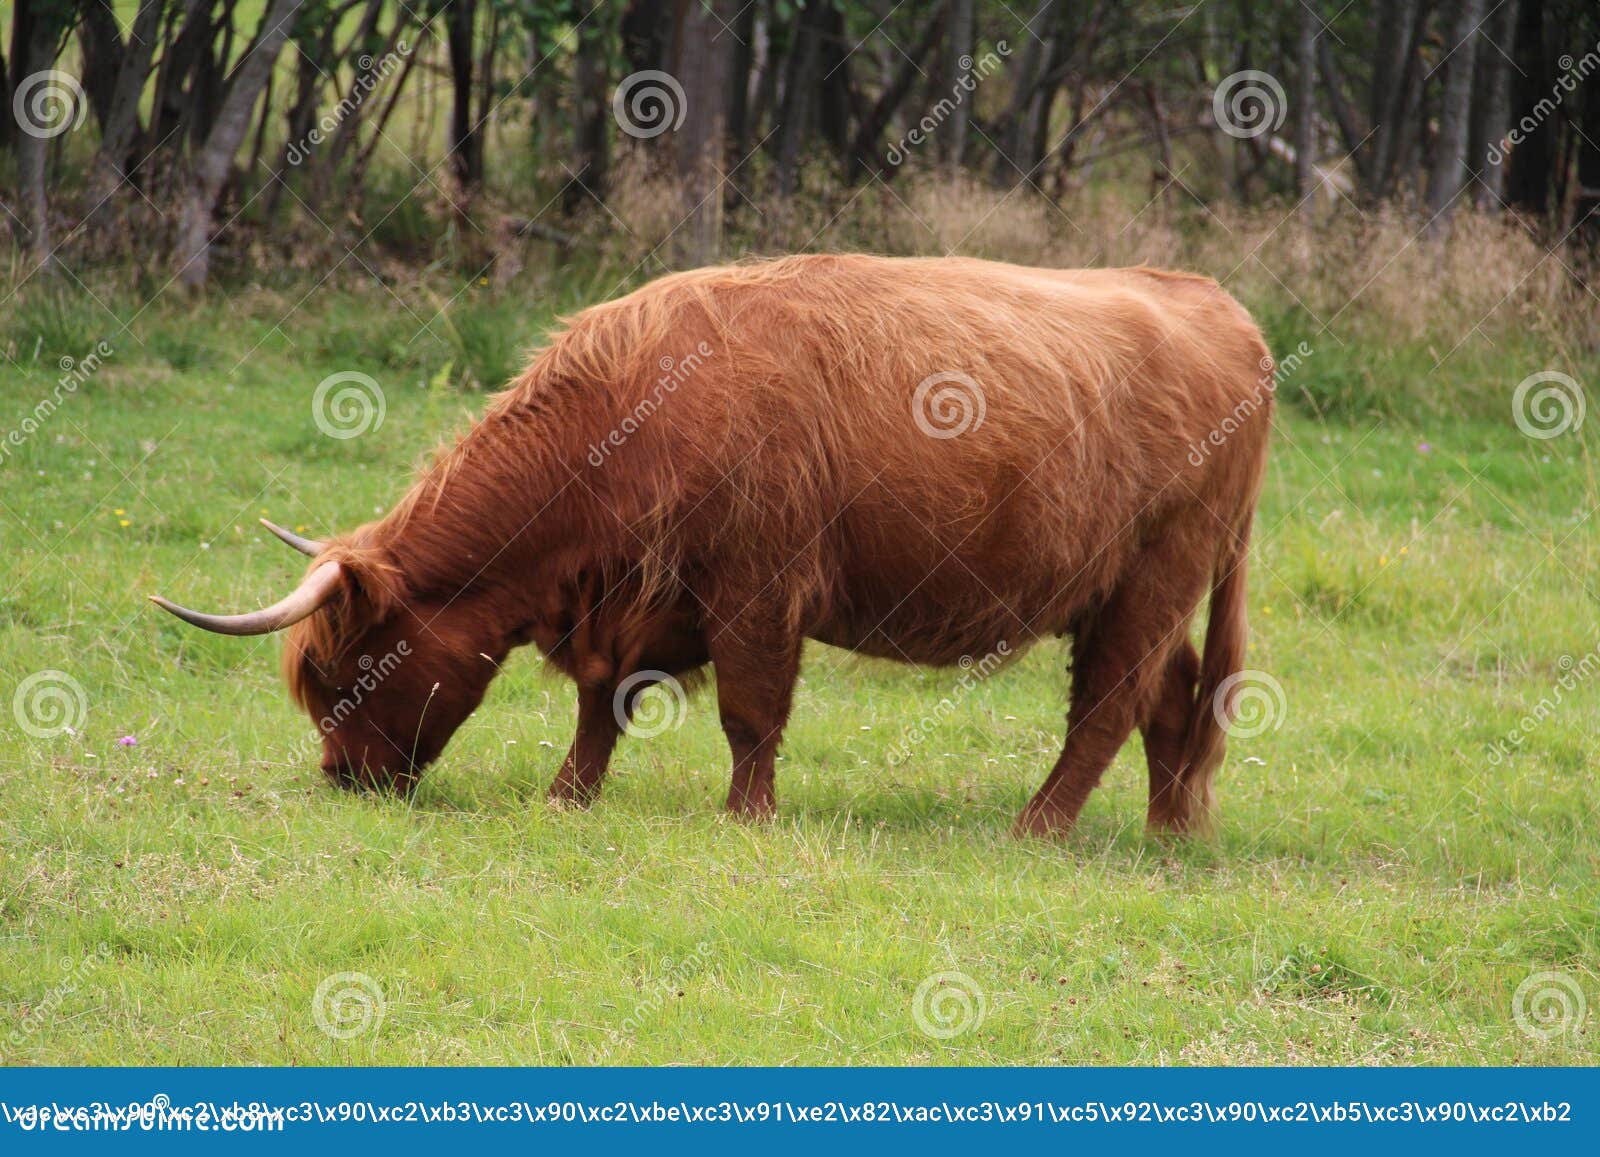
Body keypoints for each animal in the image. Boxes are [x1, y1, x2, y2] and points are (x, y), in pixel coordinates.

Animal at [151, 254, 1273, 836]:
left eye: (351, 667)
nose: (341, 776)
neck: (632, 414)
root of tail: (1219, 303)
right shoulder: (641, 604)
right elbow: (600, 706)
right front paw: (568, 796)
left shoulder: (759, 592)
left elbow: (749, 713)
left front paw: (747, 816)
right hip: (1133, 590)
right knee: (1171, 700)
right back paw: (1169, 829)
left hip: (1158, 573)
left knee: (1109, 705)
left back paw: (1038, 826)